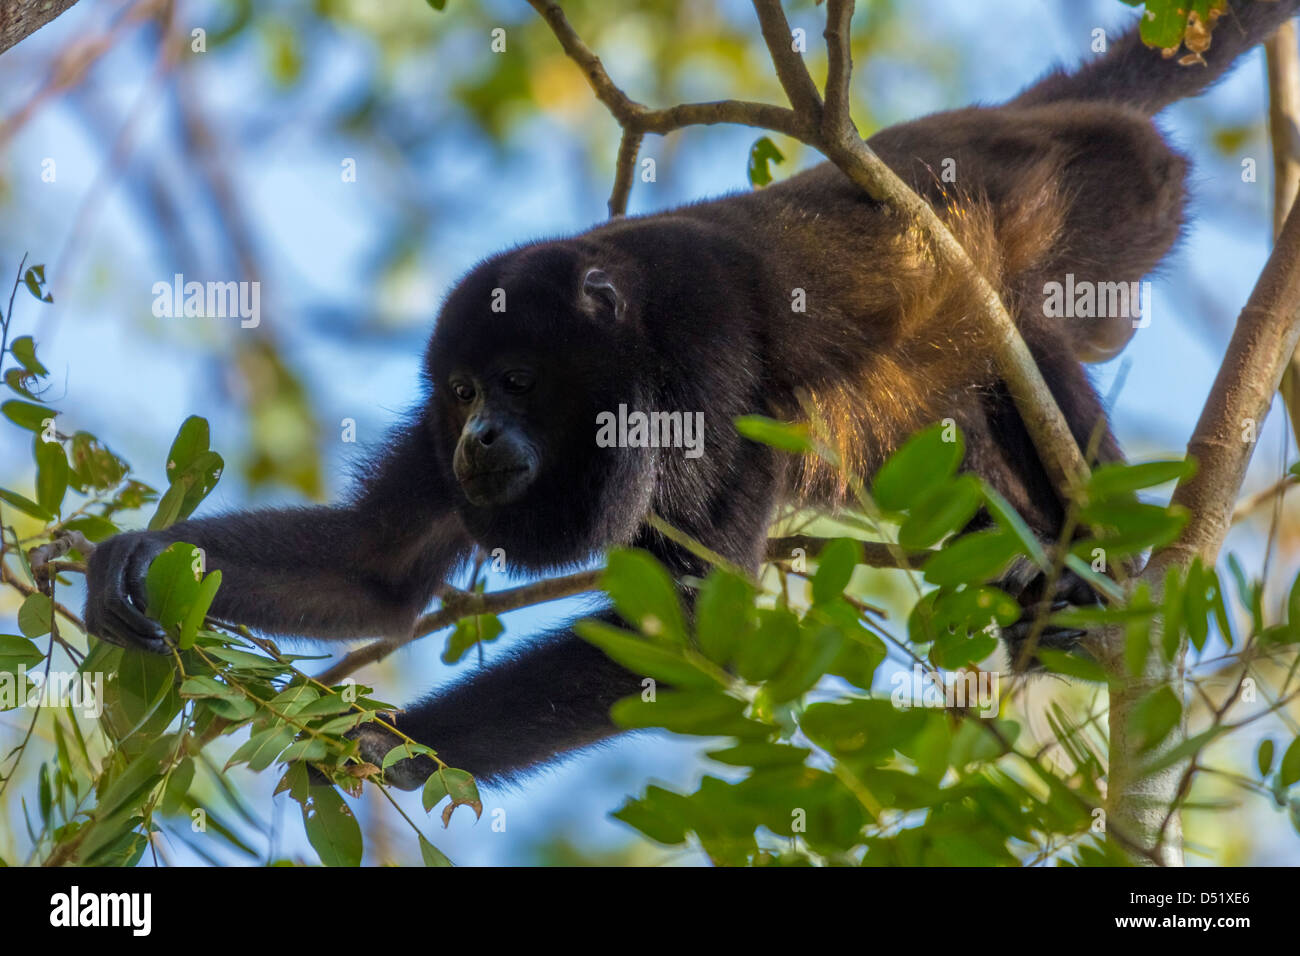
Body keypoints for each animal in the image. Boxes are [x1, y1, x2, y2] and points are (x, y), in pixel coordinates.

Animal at [84, 0, 1300, 788]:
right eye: (464, 387)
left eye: (519, 379)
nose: (478, 436)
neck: (628, 333)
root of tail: (1017, 117)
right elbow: (374, 565)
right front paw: (139, 563)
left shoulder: (708, 355)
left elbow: (685, 620)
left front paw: (394, 745)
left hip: (1109, 196)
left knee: (1032, 338)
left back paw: (1101, 589)